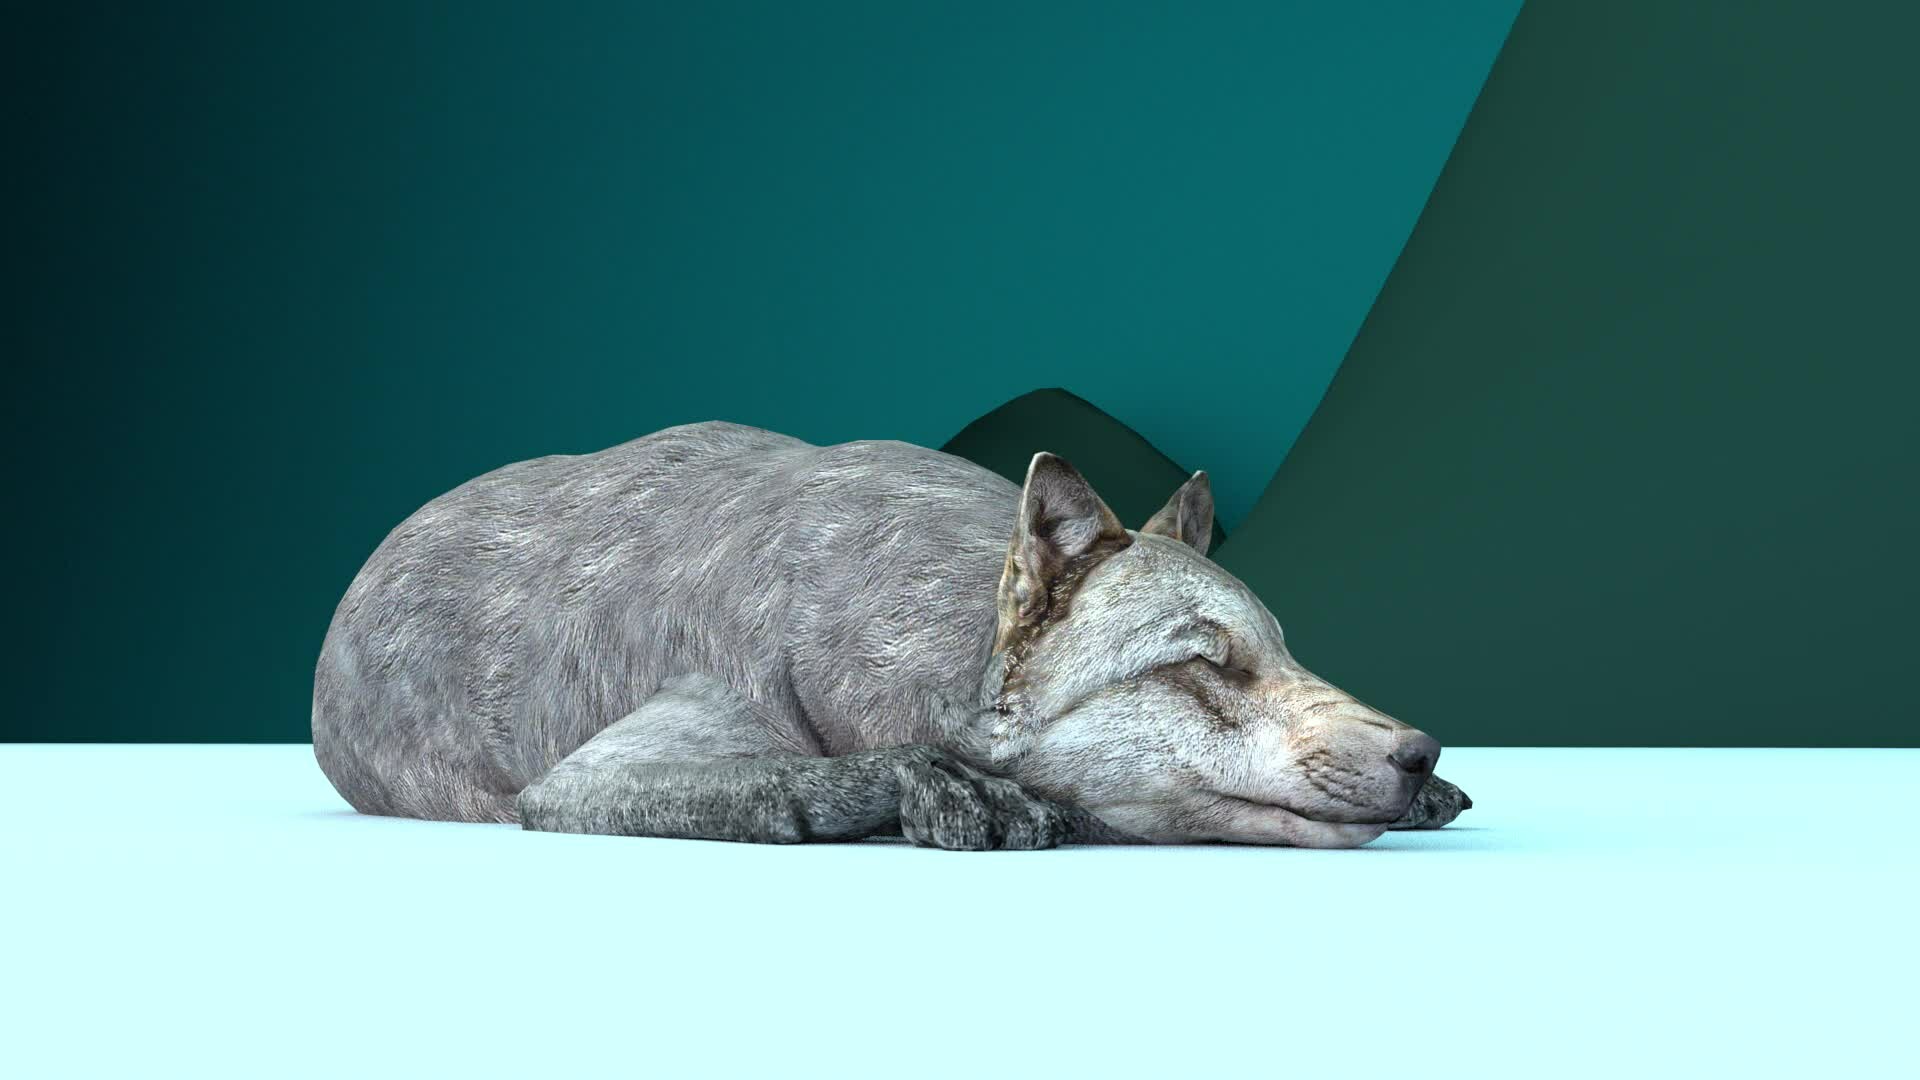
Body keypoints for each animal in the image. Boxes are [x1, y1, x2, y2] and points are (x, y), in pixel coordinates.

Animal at [313, 422, 1469, 849]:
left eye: (1288, 650)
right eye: (1201, 663)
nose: (1422, 752)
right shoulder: (584, 779)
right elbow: (803, 778)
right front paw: (961, 792)